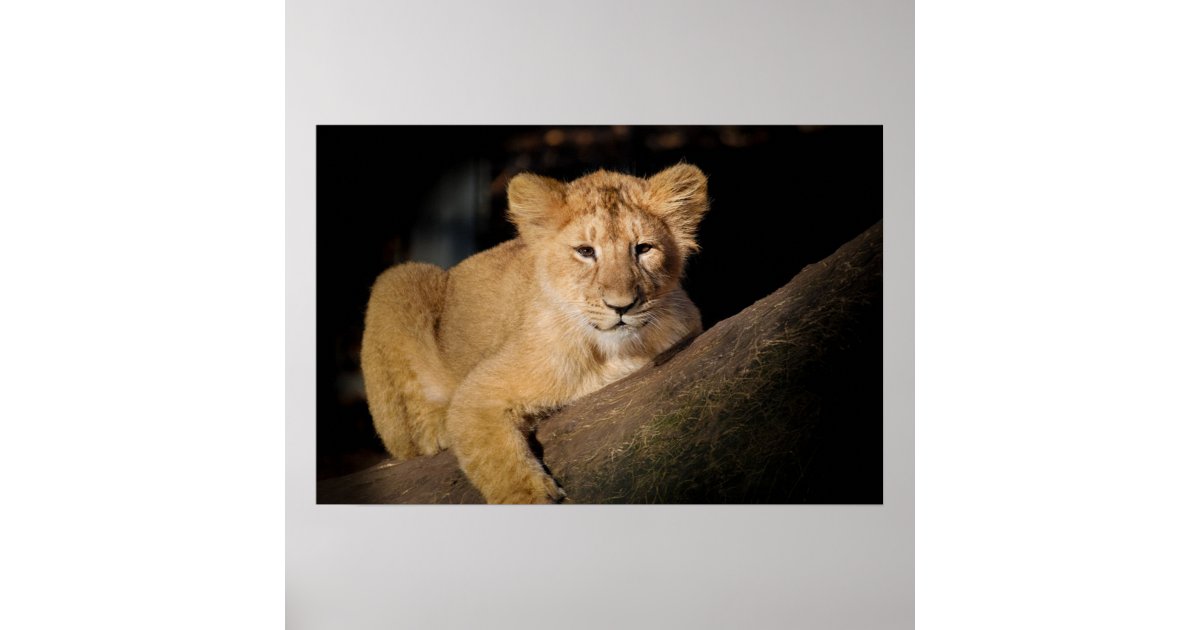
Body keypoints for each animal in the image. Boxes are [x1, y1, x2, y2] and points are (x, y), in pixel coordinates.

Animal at [360, 164, 709, 503]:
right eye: (585, 251)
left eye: (643, 248)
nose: (621, 306)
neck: (611, 352)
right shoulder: (477, 393)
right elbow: (498, 463)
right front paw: (530, 497)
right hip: (398, 280)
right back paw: (436, 431)